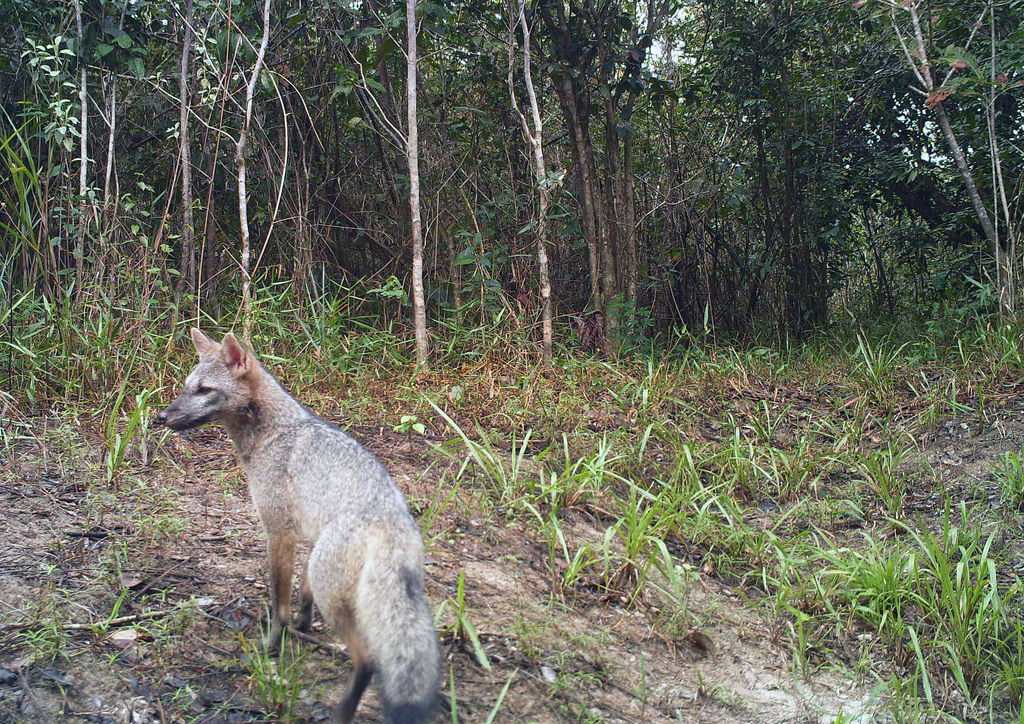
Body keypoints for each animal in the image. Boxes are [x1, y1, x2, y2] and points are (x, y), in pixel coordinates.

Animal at [156, 328, 441, 724]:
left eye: (204, 390)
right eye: (186, 387)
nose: (160, 416)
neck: (275, 432)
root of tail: (391, 520)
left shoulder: (278, 533)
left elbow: (280, 603)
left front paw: (272, 646)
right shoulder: (308, 533)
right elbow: (301, 592)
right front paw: (304, 625)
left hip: (334, 601)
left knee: (369, 659)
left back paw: (342, 712)